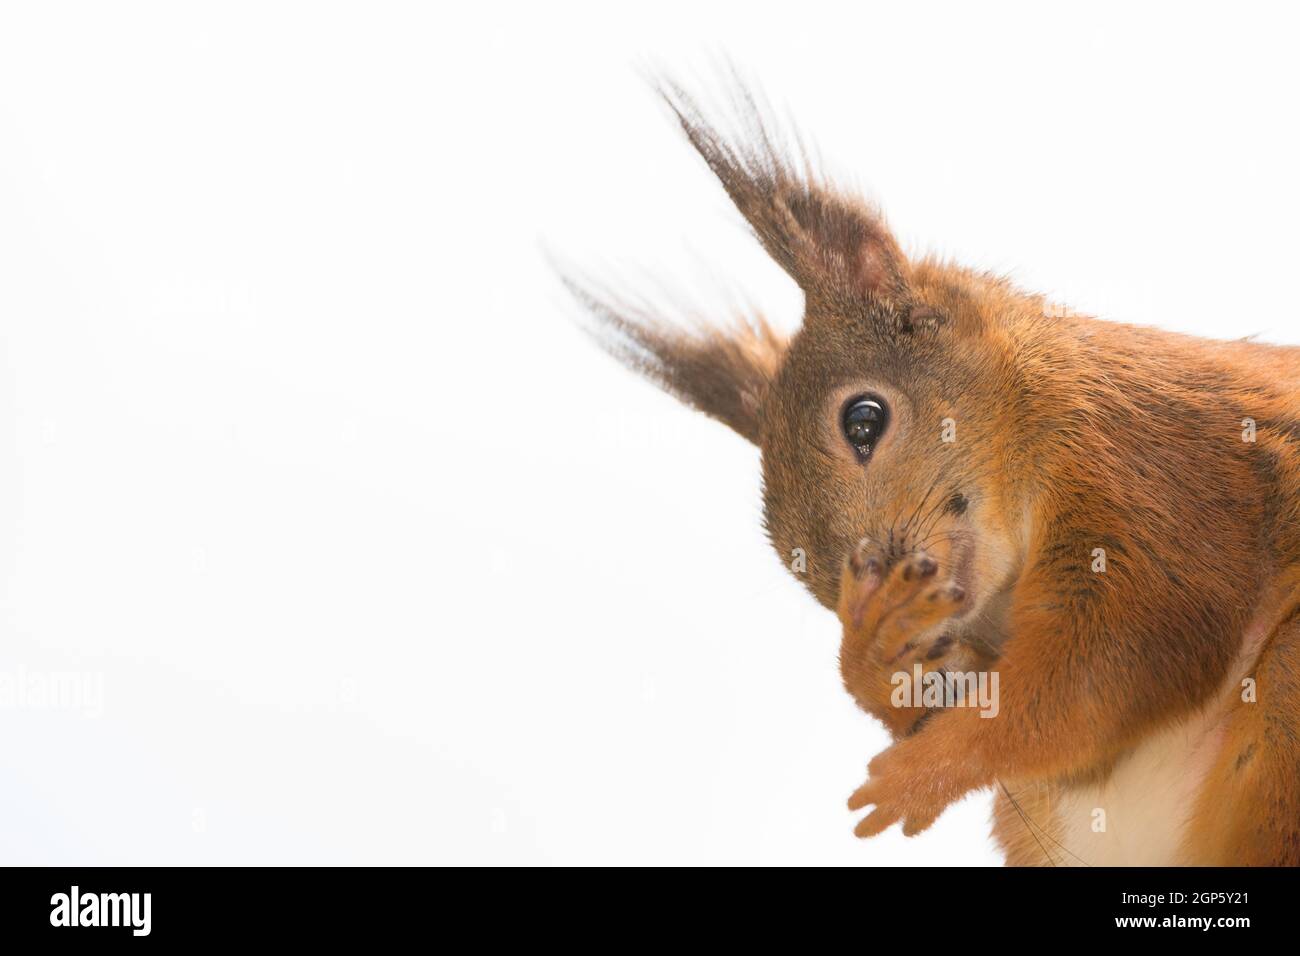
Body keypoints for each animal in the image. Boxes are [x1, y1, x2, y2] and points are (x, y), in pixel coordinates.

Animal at [563, 78, 1300, 866]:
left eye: (863, 420)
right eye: (787, 556)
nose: (875, 579)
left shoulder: (1153, 476)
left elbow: (1111, 666)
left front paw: (928, 767)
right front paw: (877, 662)